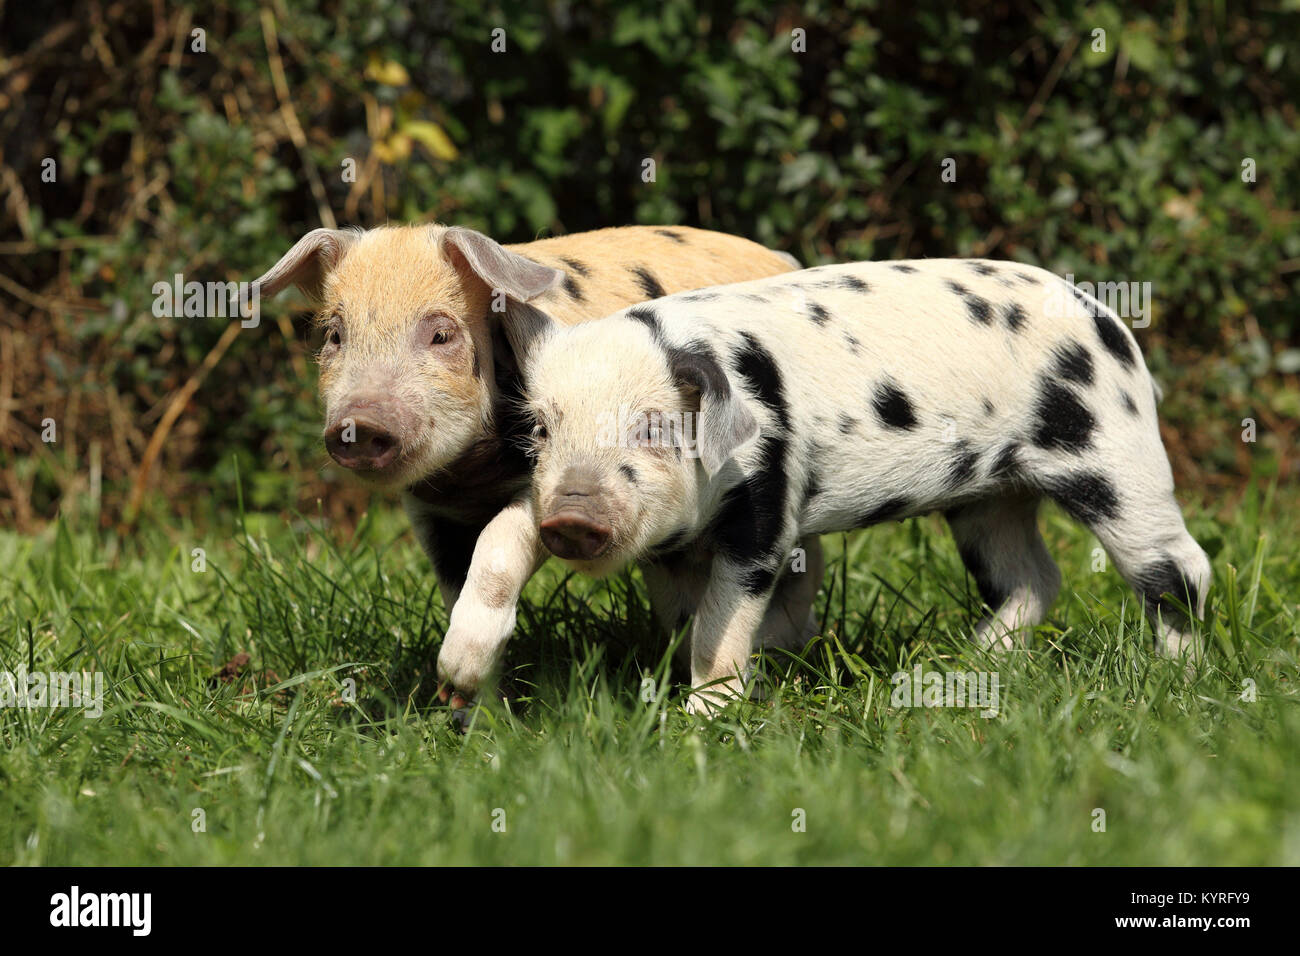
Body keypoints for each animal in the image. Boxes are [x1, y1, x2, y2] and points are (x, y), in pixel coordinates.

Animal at [255, 224, 822, 705]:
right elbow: (452, 583)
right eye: (334, 335)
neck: (468, 479)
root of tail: (780, 256)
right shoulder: (430, 513)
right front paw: (471, 706)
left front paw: (458, 668)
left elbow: (498, 546)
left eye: (441, 335)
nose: (360, 422)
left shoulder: (543, 481)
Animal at [509, 259, 1213, 713]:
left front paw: (708, 717)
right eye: (542, 427)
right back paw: (967, 666)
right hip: (989, 498)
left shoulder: (767, 503)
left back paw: (1175, 678)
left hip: (1115, 454)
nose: (571, 515)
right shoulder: (670, 551)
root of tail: (1110, 325)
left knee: (1179, 566)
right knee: (1032, 577)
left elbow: (721, 625)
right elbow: (686, 620)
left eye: (654, 426)